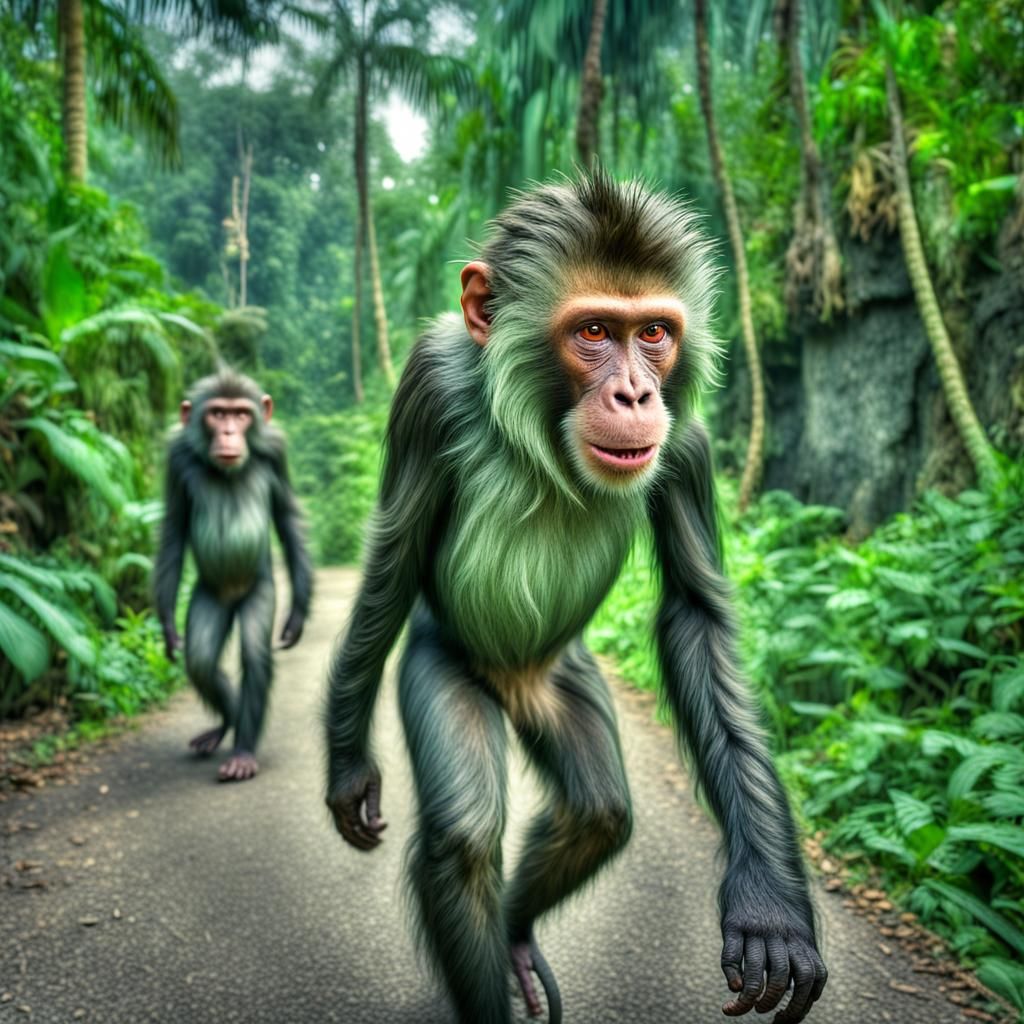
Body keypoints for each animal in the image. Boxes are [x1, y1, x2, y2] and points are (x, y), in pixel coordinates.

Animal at [155, 368, 312, 783]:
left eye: (241, 414)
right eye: (217, 414)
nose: (228, 432)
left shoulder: (276, 449)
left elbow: (287, 517)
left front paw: (297, 617)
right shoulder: (176, 458)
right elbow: (174, 530)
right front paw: (168, 629)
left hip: (259, 589)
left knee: (255, 654)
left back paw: (243, 749)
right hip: (208, 597)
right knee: (202, 661)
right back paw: (226, 722)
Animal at [324, 172, 827, 1023]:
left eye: (653, 332)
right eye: (593, 330)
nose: (635, 393)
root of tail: (517, 686)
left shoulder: (686, 439)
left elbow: (694, 612)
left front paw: (769, 906)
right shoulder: (429, 383)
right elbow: (393, 561)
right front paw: (349, 771)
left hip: (566, 678)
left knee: (597, 814)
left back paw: (517, 935)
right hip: (446, 660)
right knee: (465, 837)